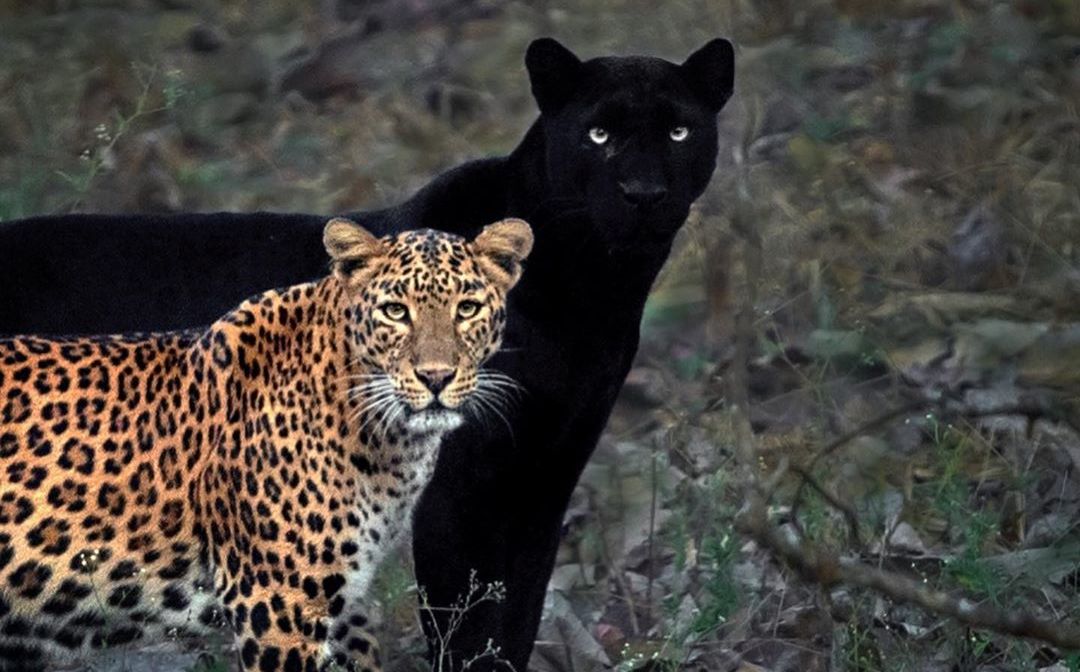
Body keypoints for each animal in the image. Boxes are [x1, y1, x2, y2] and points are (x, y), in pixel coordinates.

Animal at [0, 217, 533, 672]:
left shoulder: (344, 603)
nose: (436, 377)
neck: (388, 439)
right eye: (395, 312)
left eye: (467, 309)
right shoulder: (279, 601)